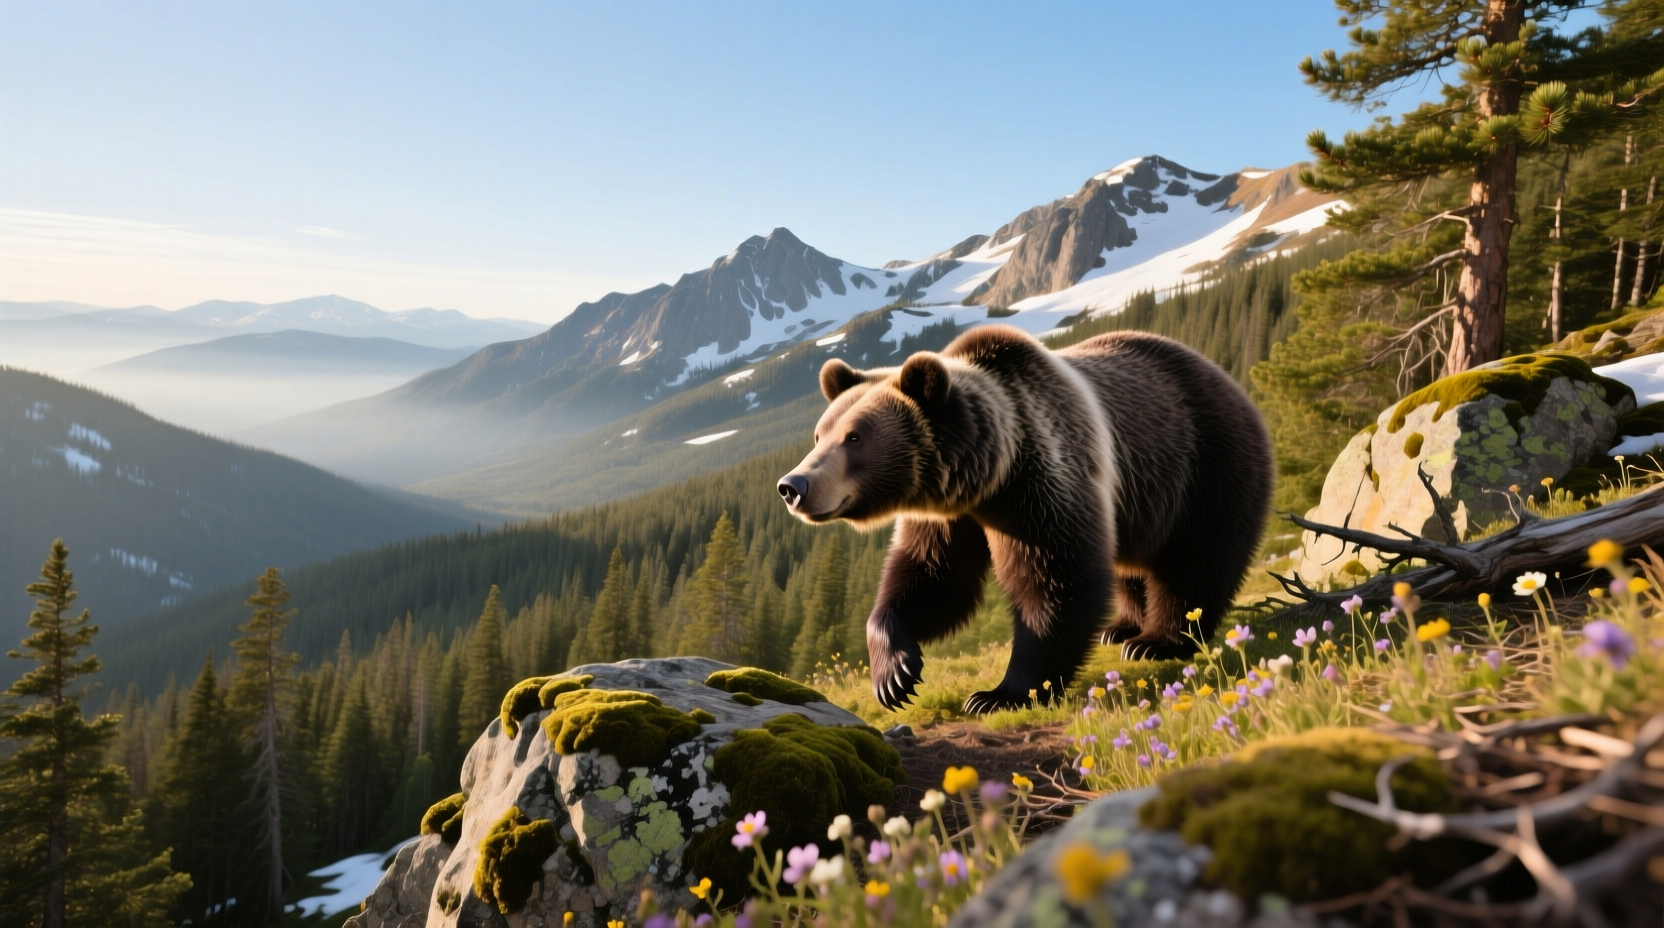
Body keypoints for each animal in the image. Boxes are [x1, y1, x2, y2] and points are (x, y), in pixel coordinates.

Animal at [776, 325, 1272, 714]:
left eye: (854, 437)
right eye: (820, 434)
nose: (792, 485)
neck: (989, 473)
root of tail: (1225, 377)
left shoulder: (1040, 483)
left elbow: (1057, 580)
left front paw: (998, 695)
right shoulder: (950, 515)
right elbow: (931, 578)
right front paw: (895, 674)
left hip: (1203, 466)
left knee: (1196, 558)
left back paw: (1156, 640)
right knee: (1131, 566)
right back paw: (1122, 628)